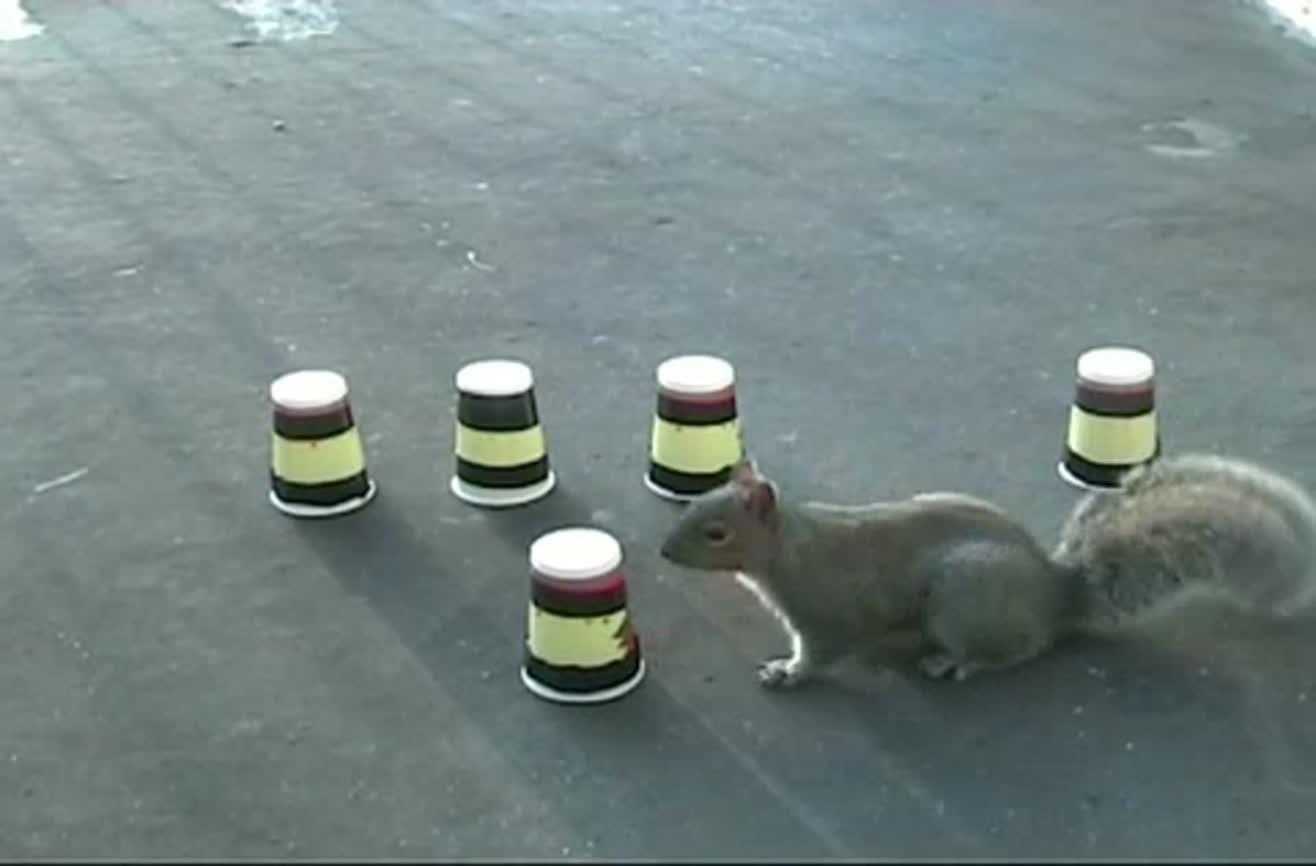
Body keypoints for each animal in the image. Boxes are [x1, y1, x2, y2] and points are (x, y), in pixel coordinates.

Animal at [658, 454, 1316, 688]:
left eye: (717, 533)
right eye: (695, 503)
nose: (665, 553)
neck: (792, 547)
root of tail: (1056, 598)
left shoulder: (826, 614)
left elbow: (819, 654)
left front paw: (787, 673)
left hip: (965, 598)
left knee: (1017, 652)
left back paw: (952, 663)